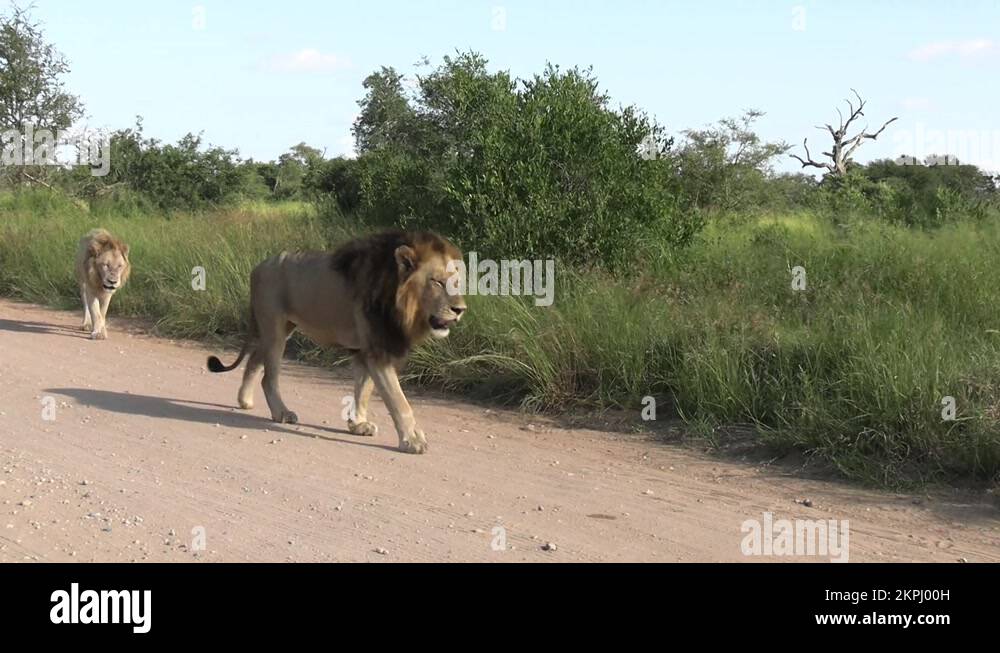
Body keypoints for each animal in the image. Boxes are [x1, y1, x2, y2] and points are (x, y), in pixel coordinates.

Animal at [206, 230, 467, 454]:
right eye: (437, 282)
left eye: (456, 283)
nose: (460, 309)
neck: (401, 302)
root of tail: (259, 266)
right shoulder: (377, 351)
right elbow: (399, 402)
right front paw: (412, 441)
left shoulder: (366, 350)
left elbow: (363, 390)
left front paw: (358, 424)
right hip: (275, 331)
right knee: (267, 377)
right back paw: (281, 413)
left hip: (279, 330)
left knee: (253, 361)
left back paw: (245, 401)